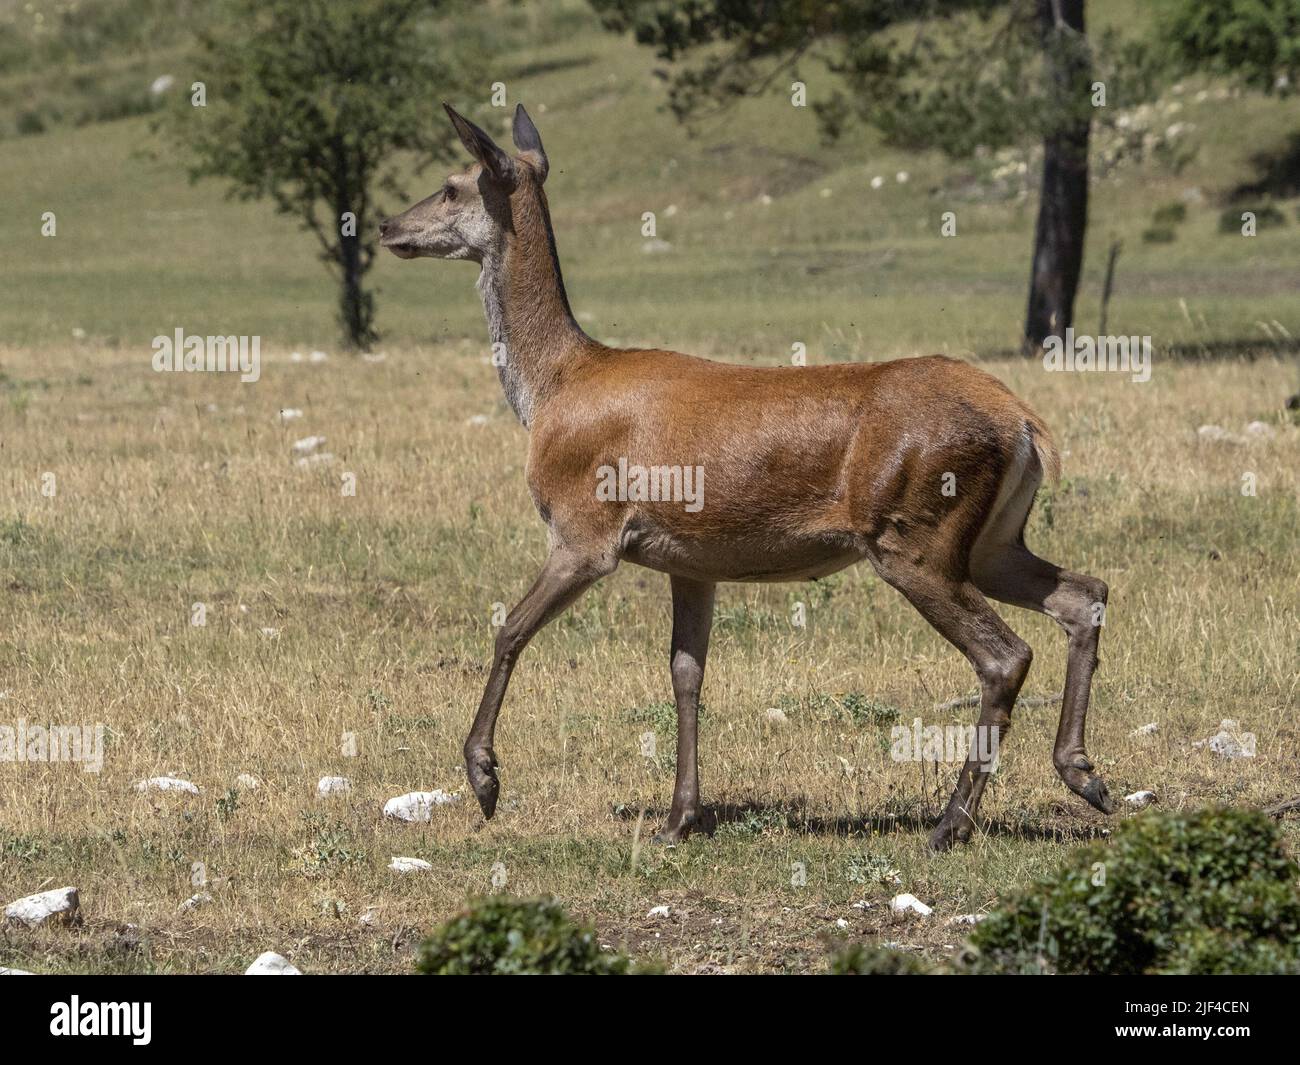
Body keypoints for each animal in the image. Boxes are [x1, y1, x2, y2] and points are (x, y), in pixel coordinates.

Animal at [379, 103, 1115, 851]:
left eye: (452, 185)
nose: (384, 226)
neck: (553, 389)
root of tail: (1026, 425)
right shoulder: (688, 558)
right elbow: (686, 672)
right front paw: (681, 815)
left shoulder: (585, 531)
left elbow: (509, 630)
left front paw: (484, 778)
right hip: (992, 540)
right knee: (1084, 593)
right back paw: (1085, 776)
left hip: (916, 535)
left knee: (1005, 654)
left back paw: (950, 822)